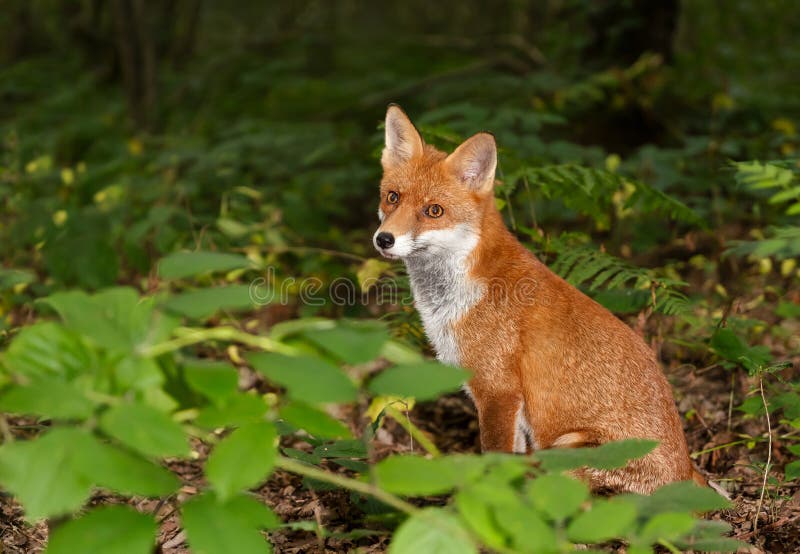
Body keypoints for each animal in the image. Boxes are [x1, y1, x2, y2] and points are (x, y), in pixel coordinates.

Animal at [372, 105, 706, 494]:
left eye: (434, 210)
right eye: (393, 197)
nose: (384, 239)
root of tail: (685, 473)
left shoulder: (498, 390)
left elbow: (495, 460)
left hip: (565, 450)